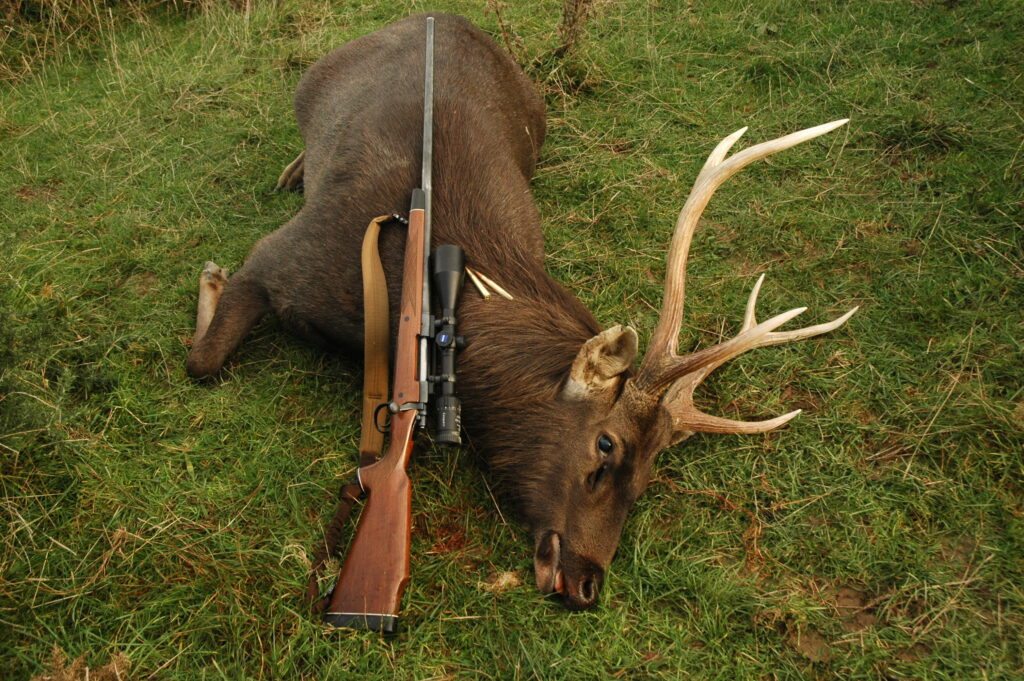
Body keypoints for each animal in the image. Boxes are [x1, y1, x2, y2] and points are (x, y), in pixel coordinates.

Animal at [185, 13, 856, 611]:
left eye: (649, 476)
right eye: (606, 446)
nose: (586, 584)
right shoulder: (282, 255)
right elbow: (203, 360)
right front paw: (212, 274)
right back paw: (291, 170)